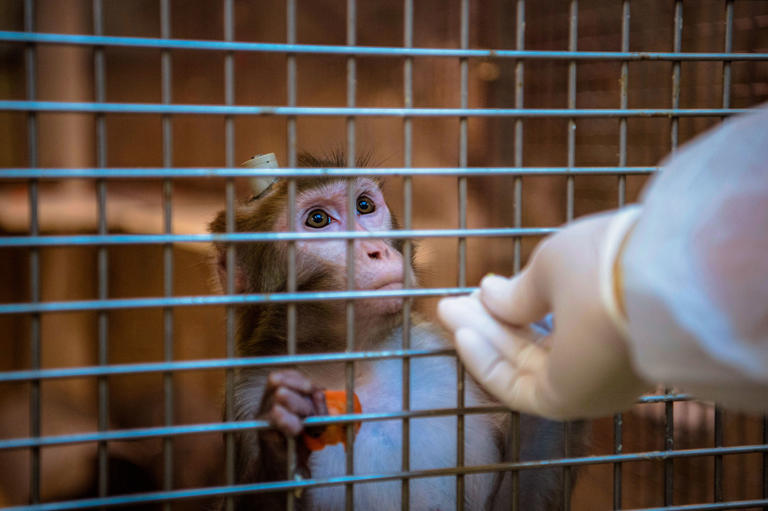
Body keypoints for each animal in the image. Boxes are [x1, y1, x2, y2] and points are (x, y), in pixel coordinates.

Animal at [209, 152, 587, 510]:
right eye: (318, 220)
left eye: (364, 206)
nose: (377, 251)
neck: (356, 359)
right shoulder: (247, 394)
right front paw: (282, 438)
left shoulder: (434, 351)